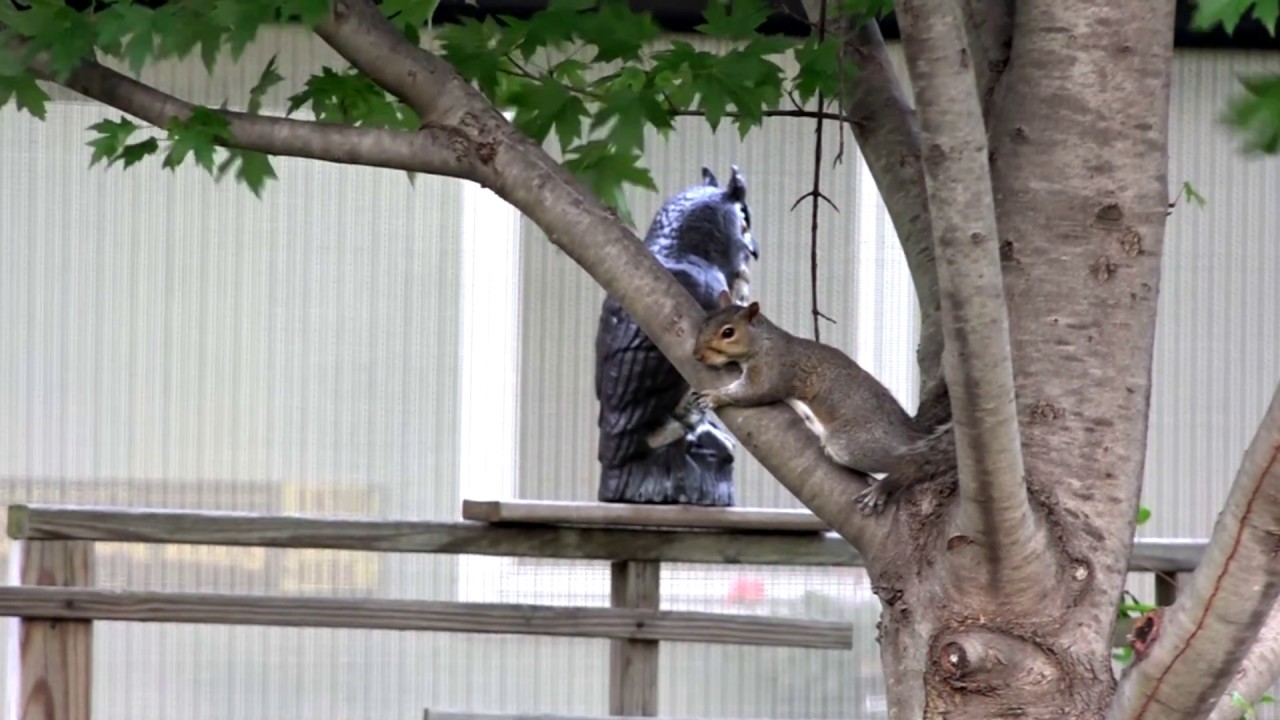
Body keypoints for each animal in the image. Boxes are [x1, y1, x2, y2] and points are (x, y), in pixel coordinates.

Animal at [690, 291, 952, 514]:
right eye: (705, 322)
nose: (697, 356)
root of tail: (910, 435)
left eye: (728, 332)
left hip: (851, 441)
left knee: (907, 463)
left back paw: (882, 487)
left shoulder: (774, 369)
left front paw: (714, 396)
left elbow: (754, 392)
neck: (763, 342)